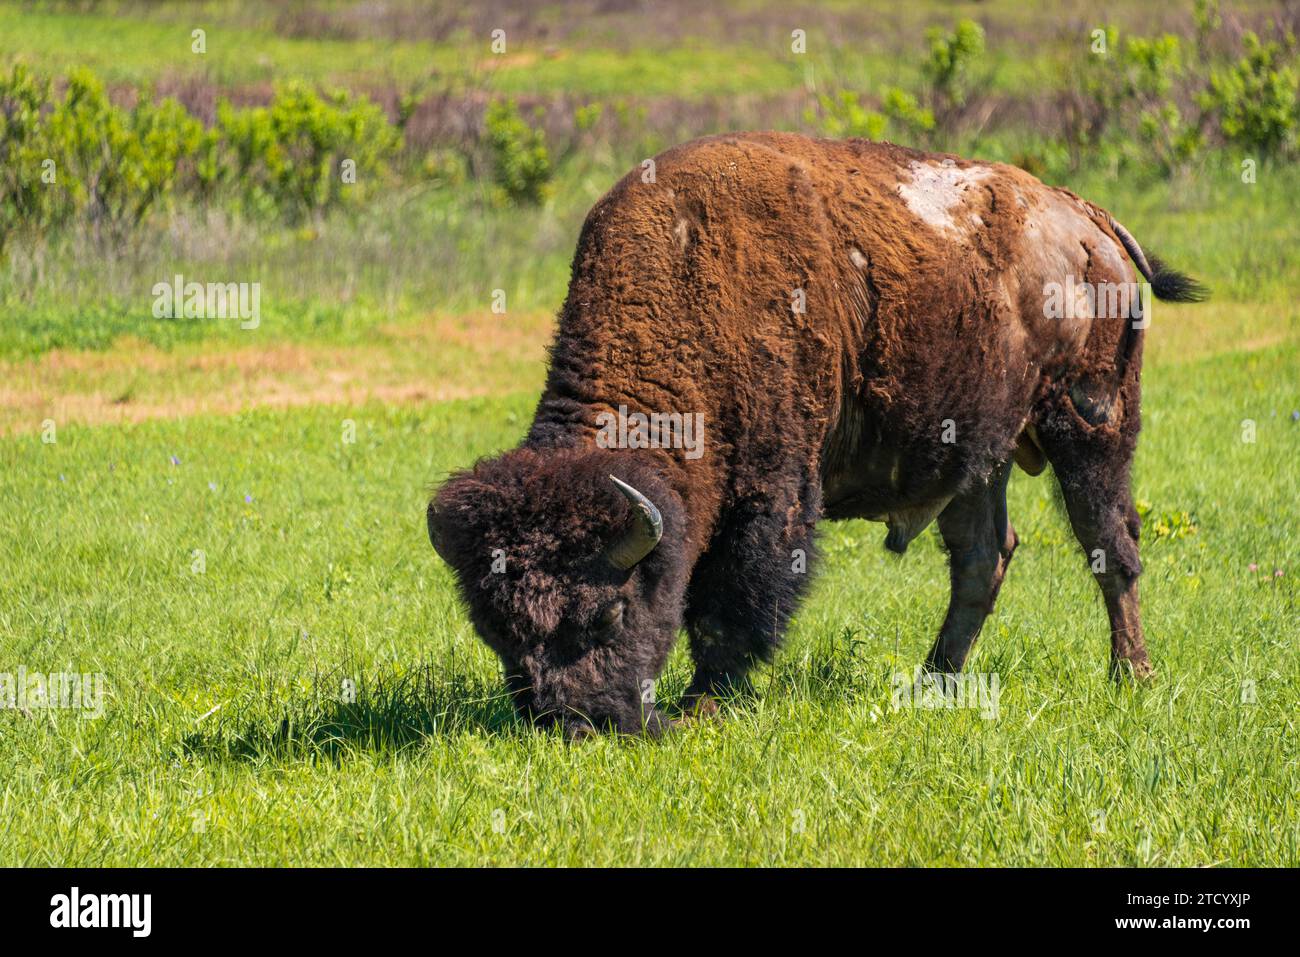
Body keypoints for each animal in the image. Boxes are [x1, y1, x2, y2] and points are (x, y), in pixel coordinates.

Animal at [429, 132, 1205, 737]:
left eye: (609, 612)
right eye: (497, 630)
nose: (573, 724)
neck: (690, 287)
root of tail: (1087, 220)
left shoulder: (772, 491)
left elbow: (735, 599)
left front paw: (706, 704)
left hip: (1092, 424)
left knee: (1112, 545)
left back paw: (1130, 676)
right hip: (978, 458)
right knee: (984, 558)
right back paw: (933, 682)